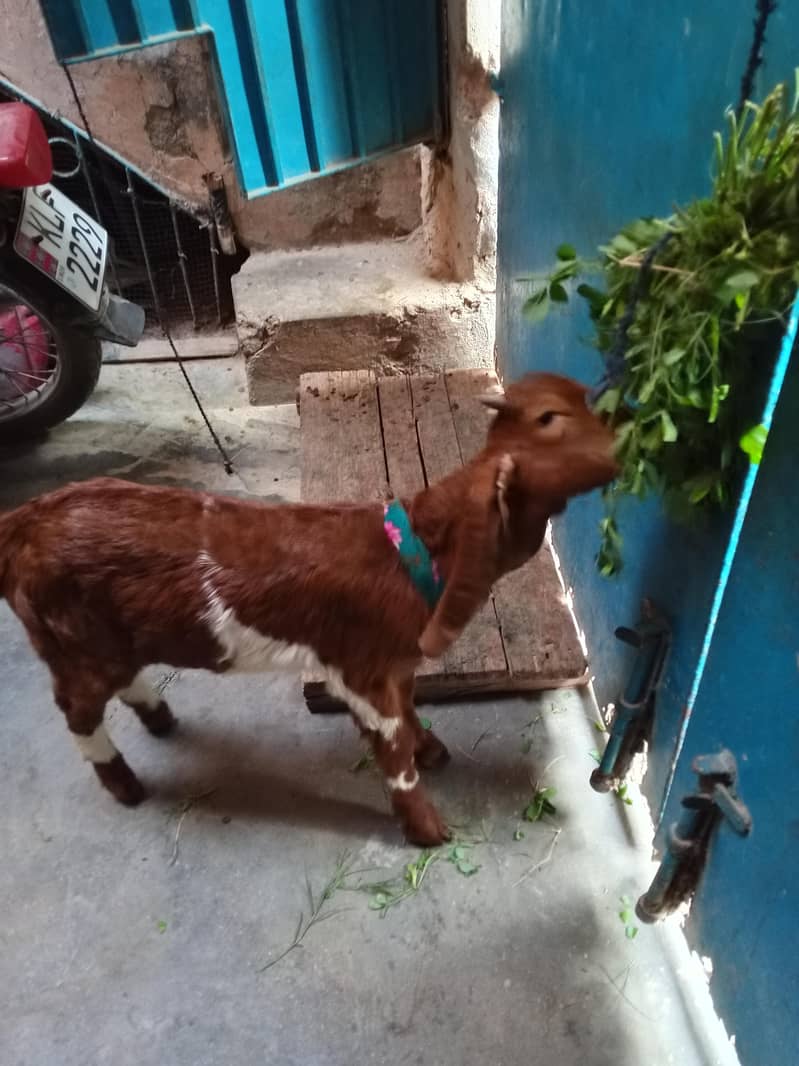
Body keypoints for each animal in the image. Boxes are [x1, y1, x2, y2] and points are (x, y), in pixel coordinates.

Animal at [0, 373, 617, 845]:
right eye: (550, 419)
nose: (621, 444)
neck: (411, 548)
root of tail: (22, 521)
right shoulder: (362, 671)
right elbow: (394, 756)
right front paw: (428, 831)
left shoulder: (395, 665)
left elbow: (411, 712)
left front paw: (434, 751)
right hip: (72, 642)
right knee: (77, 711)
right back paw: (127, 787)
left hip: (109, 640)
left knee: (124, 680)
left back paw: (161, 719)